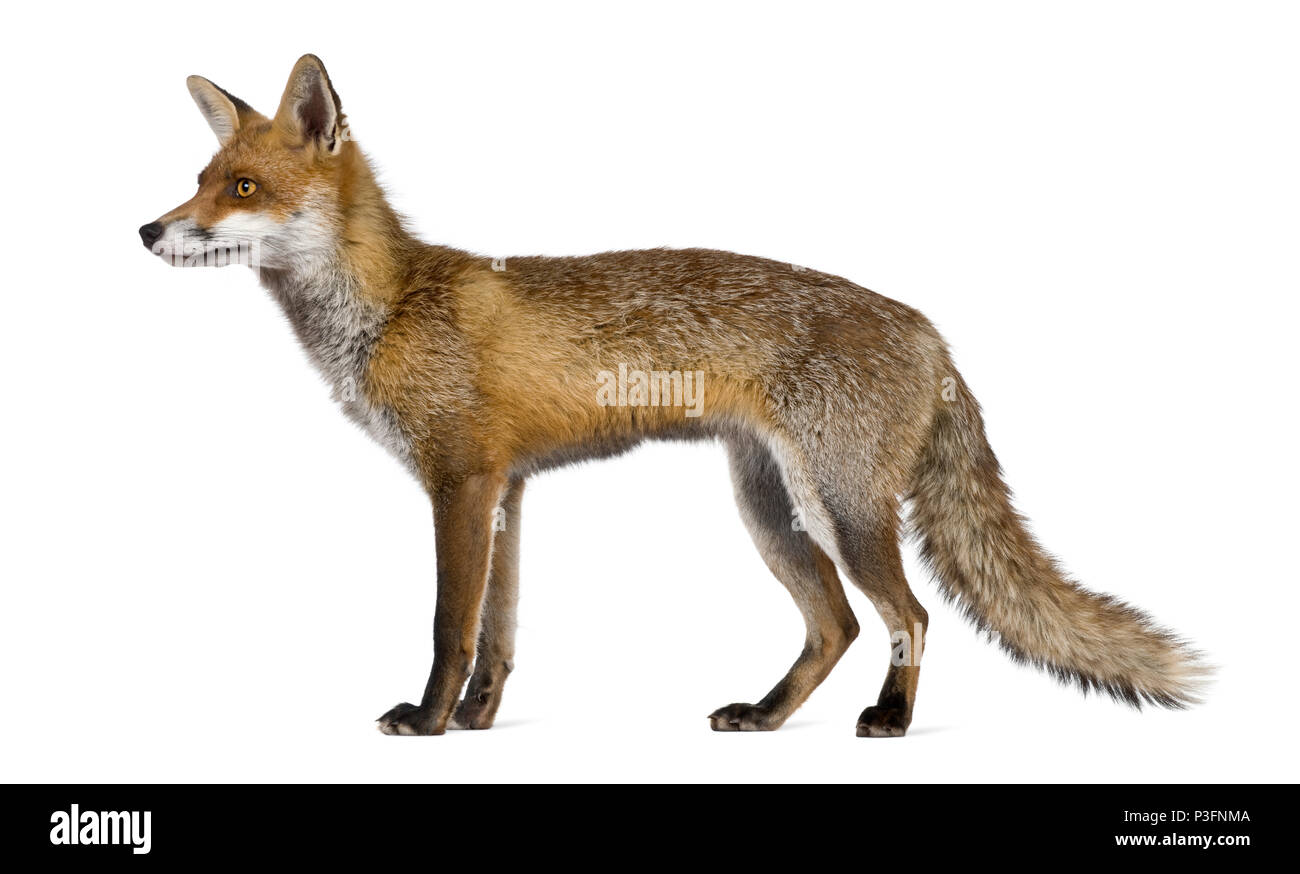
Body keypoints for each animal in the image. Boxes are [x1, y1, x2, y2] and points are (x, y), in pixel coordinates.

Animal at [141, 55, 1208, 736]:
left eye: (241, 187)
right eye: (198, 178)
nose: (148, 230)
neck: (392, 306)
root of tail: (930, 331)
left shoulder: (461, 482)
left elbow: (450, 623)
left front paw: (430, 722)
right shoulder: (508, 489)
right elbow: (500, 632)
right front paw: (479, 722)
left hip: (842, 507)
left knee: (908, 617)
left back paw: (891, 721)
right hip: (770, 508)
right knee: (837, 626)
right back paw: (766, 717)